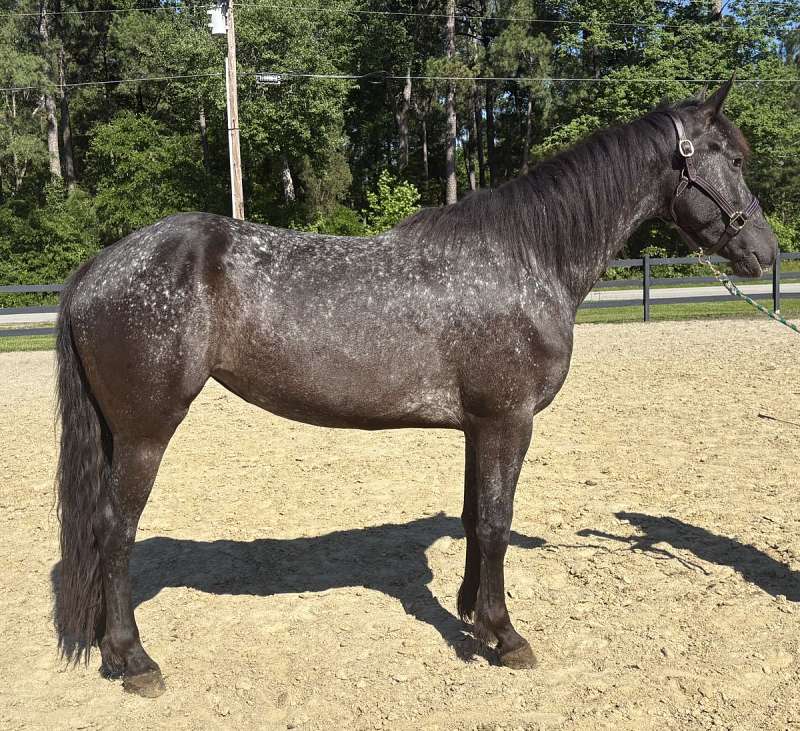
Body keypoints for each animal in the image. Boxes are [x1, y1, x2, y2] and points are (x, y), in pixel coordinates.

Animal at [53, 78, 777, 697]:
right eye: (730, 158)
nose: (766, 253)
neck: (525, 256)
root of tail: (100, 265)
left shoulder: (479, 426)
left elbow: (473, 518)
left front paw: (473, 617)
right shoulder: (509, 421)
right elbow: (496, 522)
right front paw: (506, 635)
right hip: (145, 432)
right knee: (115, 530)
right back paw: (134, 659)